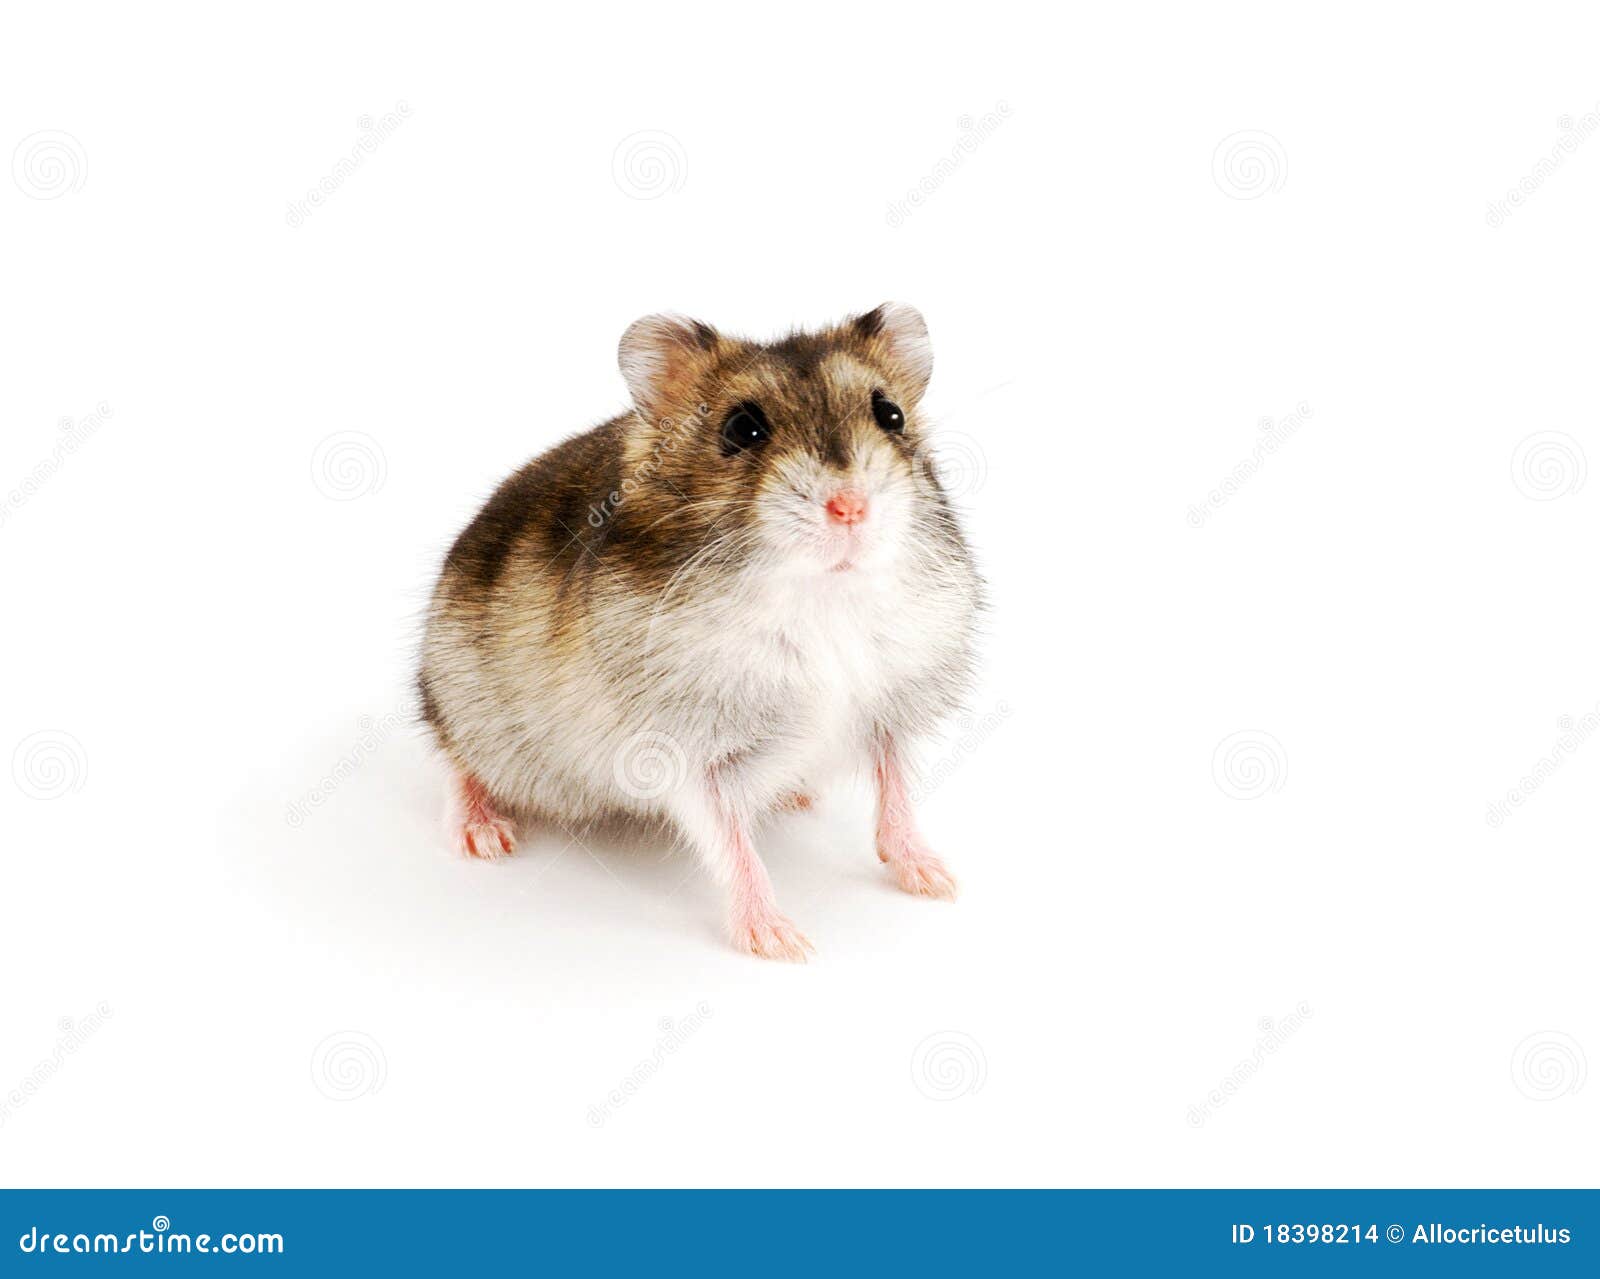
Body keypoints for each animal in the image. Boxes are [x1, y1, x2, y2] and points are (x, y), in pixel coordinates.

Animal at [417, 304, 981, 960]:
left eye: (889, 414)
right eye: (742, 429)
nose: (850, 508)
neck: (821, 593)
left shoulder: (889, 706)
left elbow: (897, 794)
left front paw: (937, 881)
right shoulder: (688, 752)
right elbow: (734, 845)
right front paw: (781, 942)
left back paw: (796, 793)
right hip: (464, 700)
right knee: (455, 758)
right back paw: (484, 835)